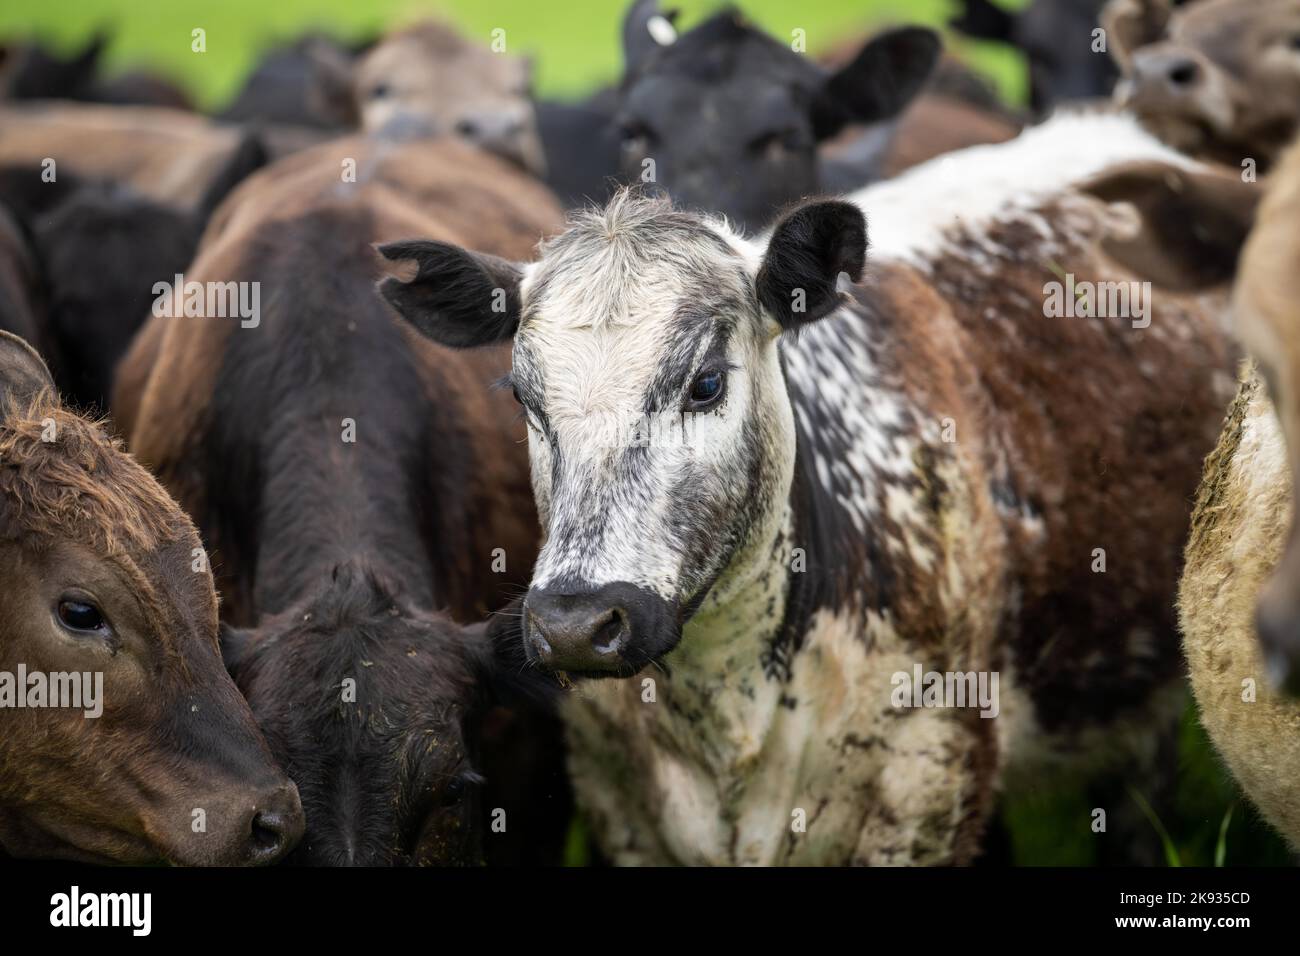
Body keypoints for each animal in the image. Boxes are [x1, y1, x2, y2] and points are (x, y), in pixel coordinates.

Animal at [380, 110, 1253, 864]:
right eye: (522, 397)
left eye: (704, 383)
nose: (572, 624)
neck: (730, 707)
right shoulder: (624, 813)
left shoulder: (927, 793)